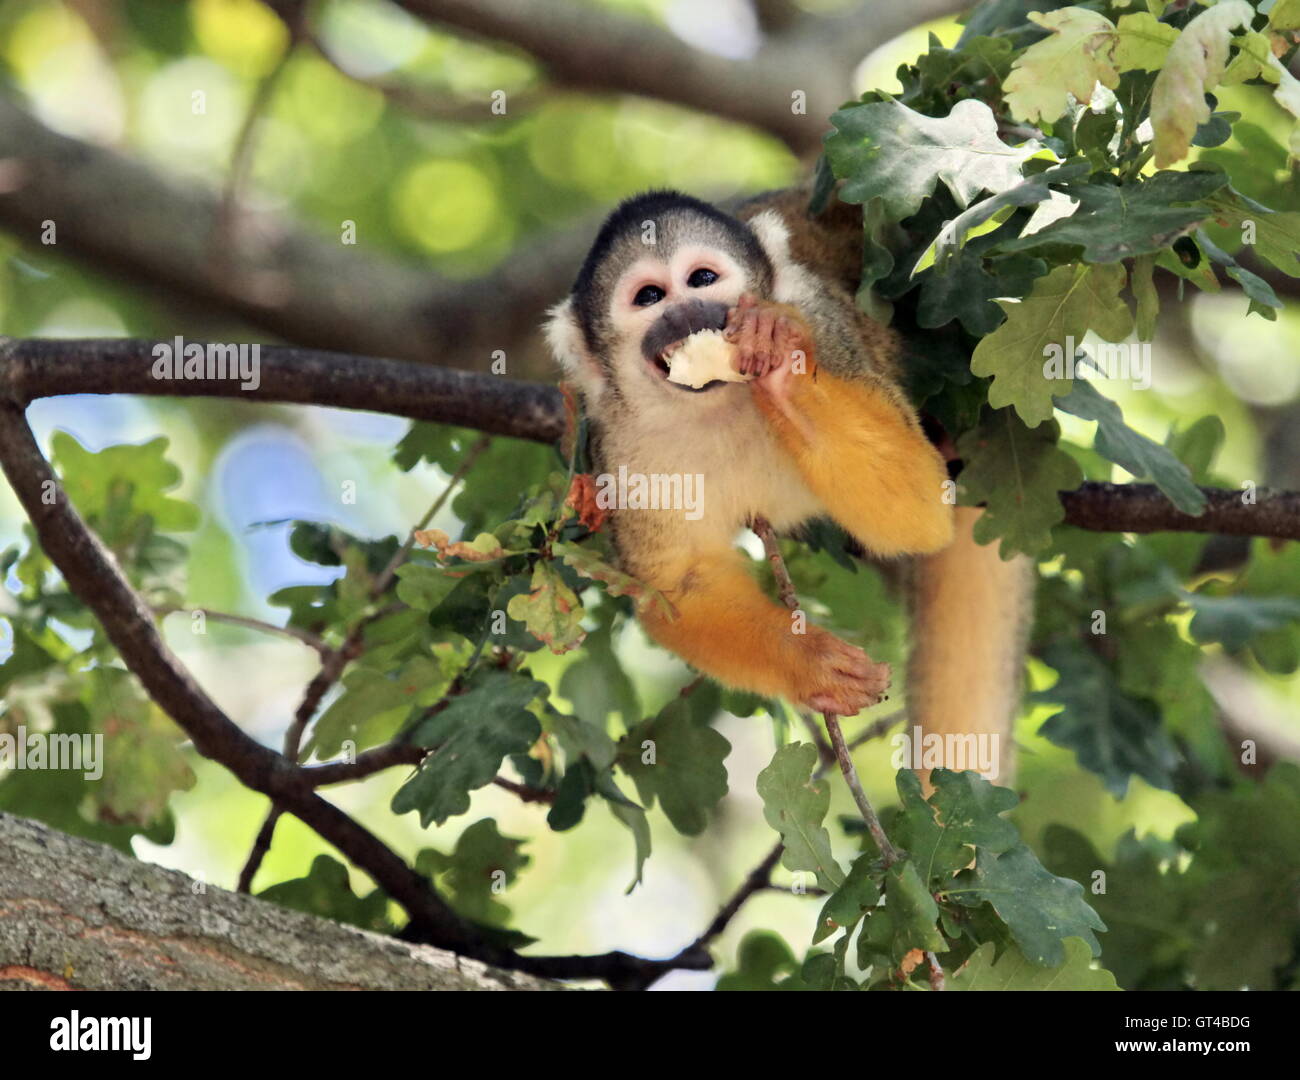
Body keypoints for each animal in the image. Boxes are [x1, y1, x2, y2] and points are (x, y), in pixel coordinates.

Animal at [546, 189, 1034, 782]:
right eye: (649, 297)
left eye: (701, 279)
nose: (683, 313)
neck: (716, 402)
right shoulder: (618, 440)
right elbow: (680, 586)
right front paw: (809, 662)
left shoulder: (823, 323)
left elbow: (918, 509)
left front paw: (779, 355)